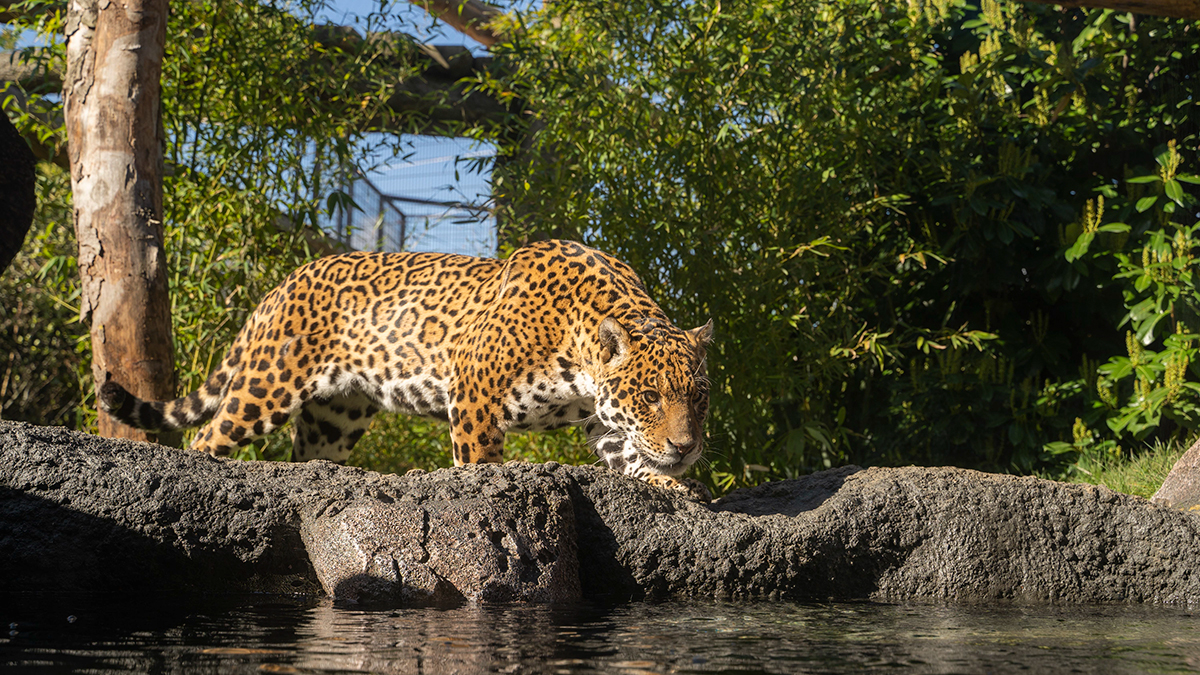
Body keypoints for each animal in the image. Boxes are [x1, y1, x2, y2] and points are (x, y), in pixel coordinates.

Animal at [99, 239, 714, 496]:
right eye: (651, 396)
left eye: (699, 398)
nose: (686, 447)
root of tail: (283, 284)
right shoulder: (475, 398)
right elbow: (478, 464)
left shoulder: (598, 417)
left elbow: (628, 454)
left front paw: (669, 484)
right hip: (265, 386)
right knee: (206, 438)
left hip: (335, 419)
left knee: (308, 455)